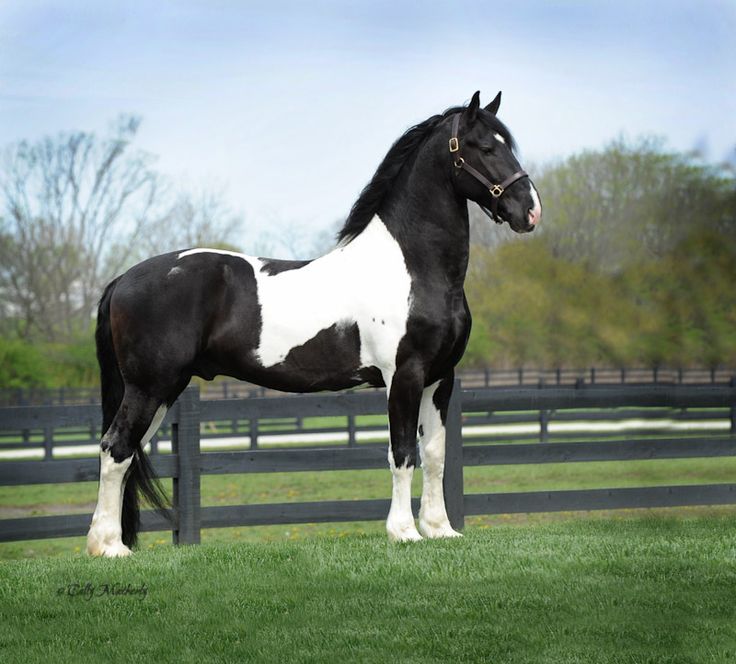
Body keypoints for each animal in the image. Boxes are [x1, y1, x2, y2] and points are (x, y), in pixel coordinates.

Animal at [87, 91, 542, 556]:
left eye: (506, 144)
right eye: (484, 147)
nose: (530, 210)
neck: (412, 266)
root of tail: (122, 280)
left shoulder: (440, 378)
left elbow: (434, 454)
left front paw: (439, 529)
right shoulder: (404, 376)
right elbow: (402, 453)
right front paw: (404, 532)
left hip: (162, 390)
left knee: (126, 451)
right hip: (150, 387)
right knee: (115, 449)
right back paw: (109, 547)